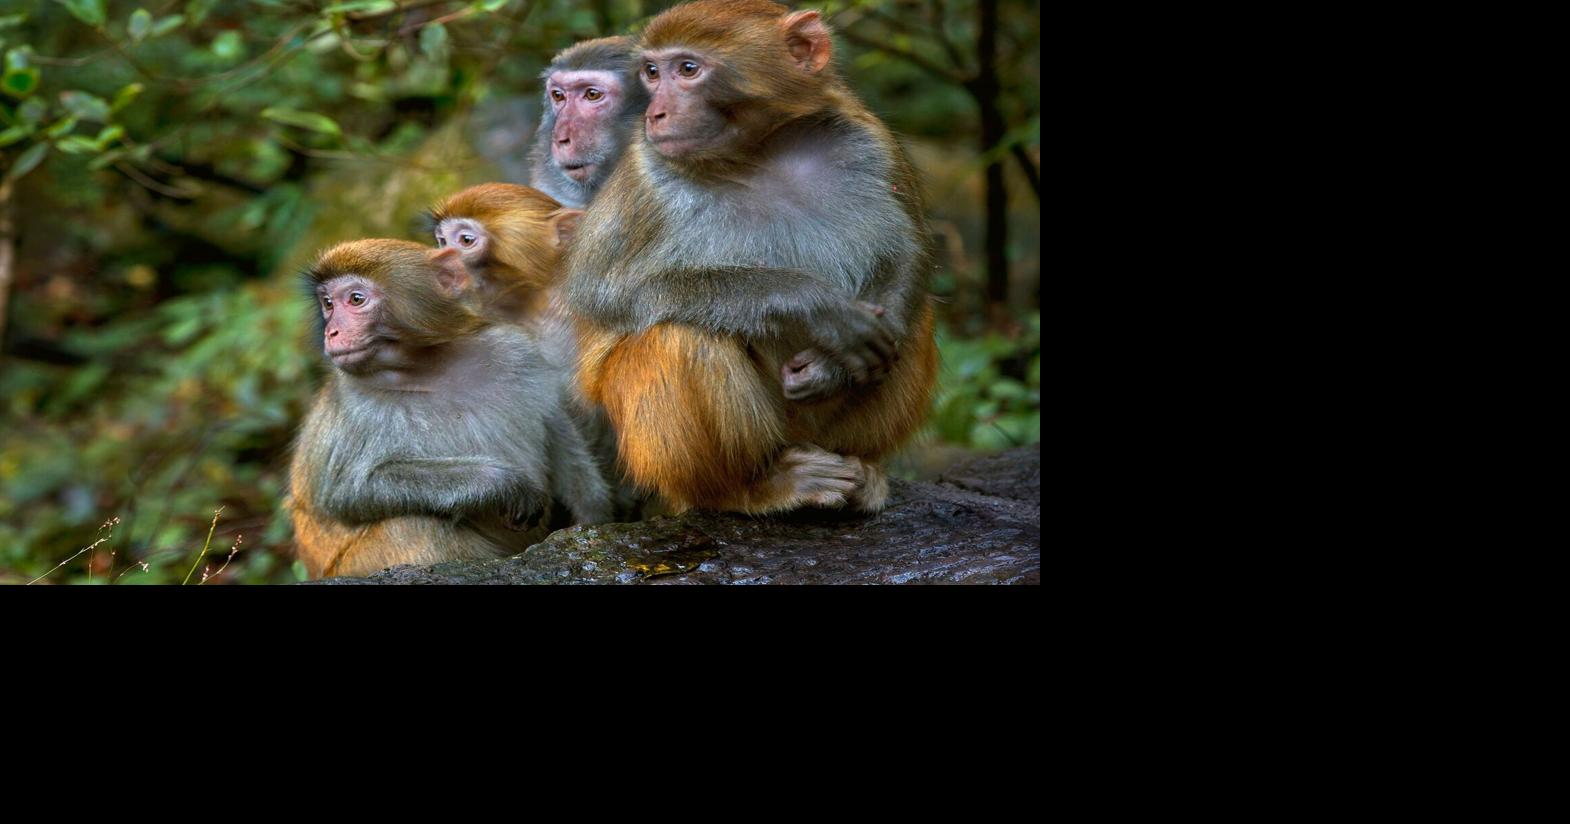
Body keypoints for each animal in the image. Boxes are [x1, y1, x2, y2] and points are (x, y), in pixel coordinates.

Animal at [286, 239, 612, 579]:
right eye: (328, 304)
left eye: (355, 299)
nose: (331, 332)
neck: (428, 366)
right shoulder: (354, 402)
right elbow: (348, 492)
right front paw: (499, 483)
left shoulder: (515, 350)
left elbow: (554, 426)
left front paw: (592, 517)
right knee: (418, 528)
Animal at [564, 0, 940, 516]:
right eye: (652, 72)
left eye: (687, 69)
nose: (656, 114)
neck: (759, 152)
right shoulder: (645, 176)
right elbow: (608, 294)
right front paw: (813, 305)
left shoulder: (870, 141)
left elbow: (908, 252)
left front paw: (833, 367)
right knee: (681, 334)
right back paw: (750, 488)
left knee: (911, 322)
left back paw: (862, 468)